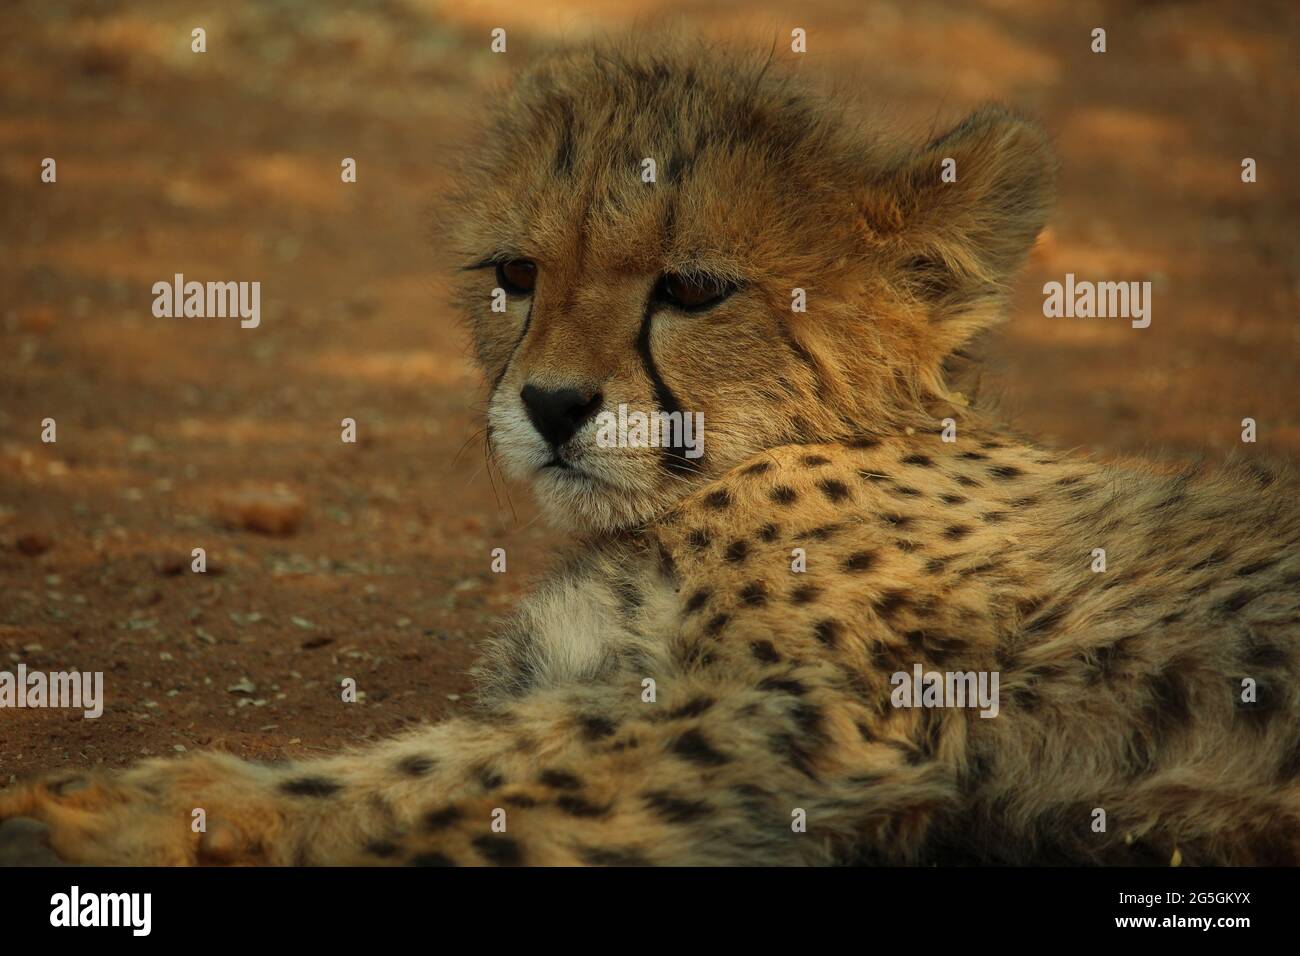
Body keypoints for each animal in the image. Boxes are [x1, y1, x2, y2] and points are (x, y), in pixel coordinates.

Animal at [1, 35, 1297, 867]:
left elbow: (440, 767)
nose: (550, 404)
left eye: (694, 288)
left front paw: (118, 808)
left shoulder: (818, 707)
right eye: (516, 274)